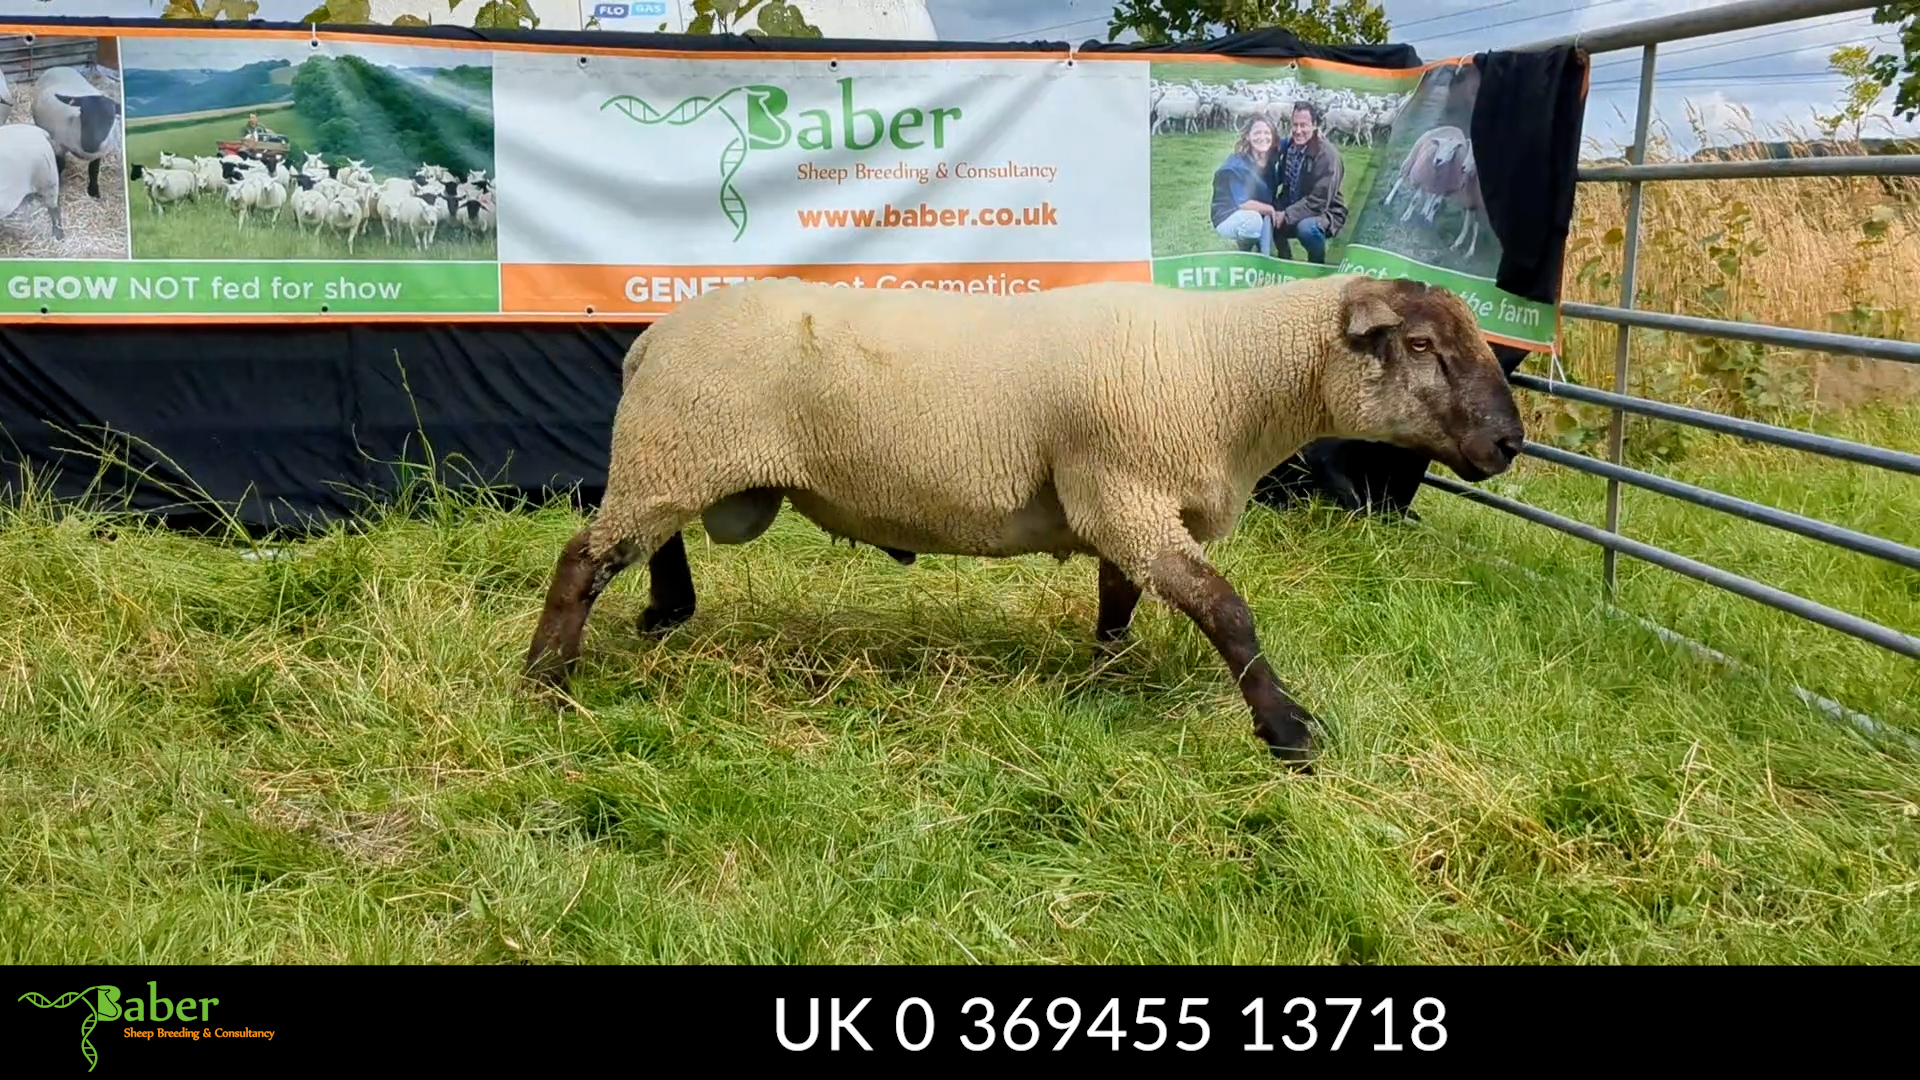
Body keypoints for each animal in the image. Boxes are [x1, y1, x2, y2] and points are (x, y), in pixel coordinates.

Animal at [520, 273, 1526, 768]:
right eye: (1423, 345)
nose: (1511, 442)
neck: (1227, 370)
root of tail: (650, 341)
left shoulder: (1121, 499)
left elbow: (1121, 599)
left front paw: (1106, 673)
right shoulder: (1124, 489)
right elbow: (1227, 612)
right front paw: (1287, 733)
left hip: (680, 458)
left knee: (646, 542)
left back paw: (665, 612)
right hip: (677, 449)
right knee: (582, 557)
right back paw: (546, 681)